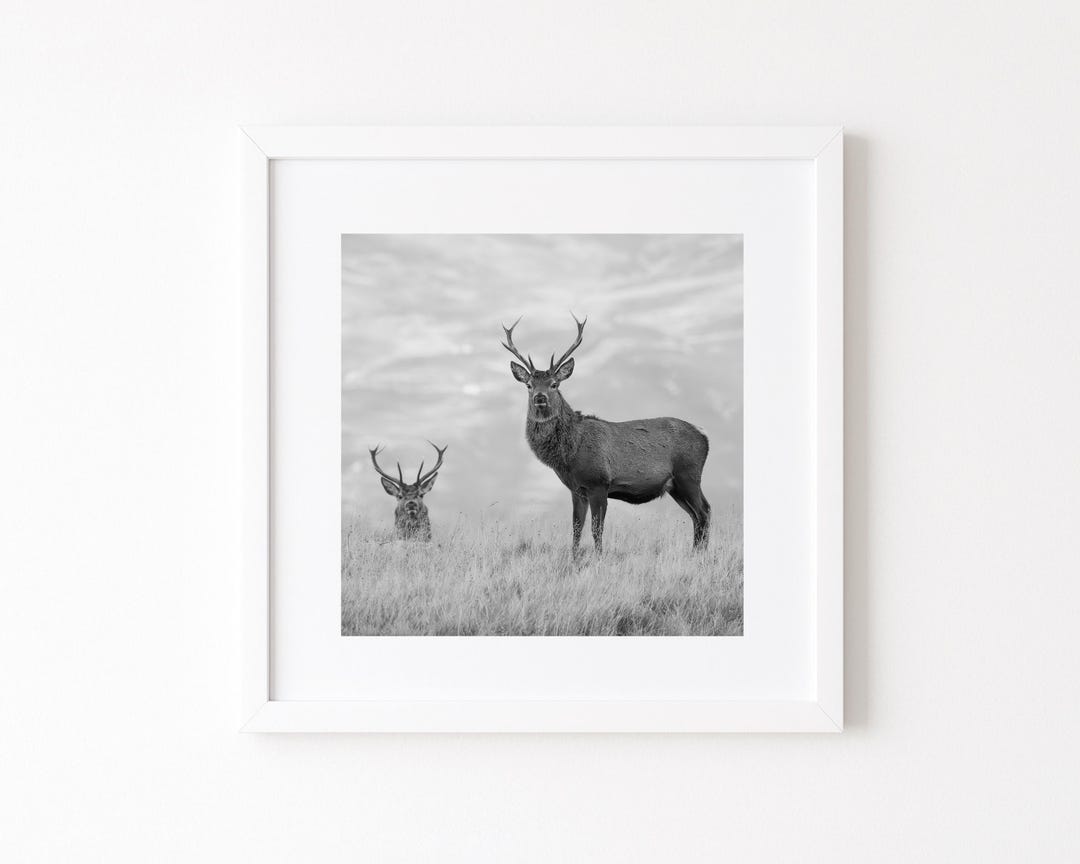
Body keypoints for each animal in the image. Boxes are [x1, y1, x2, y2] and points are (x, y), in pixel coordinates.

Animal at [501, 314, 711, 554]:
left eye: (554, 384)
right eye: (529, 385)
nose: (540, 397)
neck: (570, 454)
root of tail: (705, 436)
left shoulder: (599, 482)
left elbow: (596, 530)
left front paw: (598, 558)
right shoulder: (577, 490)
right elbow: (576, 530)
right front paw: (574, 559)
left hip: (689, 474)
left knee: (704, 512)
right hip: (675, 486)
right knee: (696, 517)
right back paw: (695, 553)